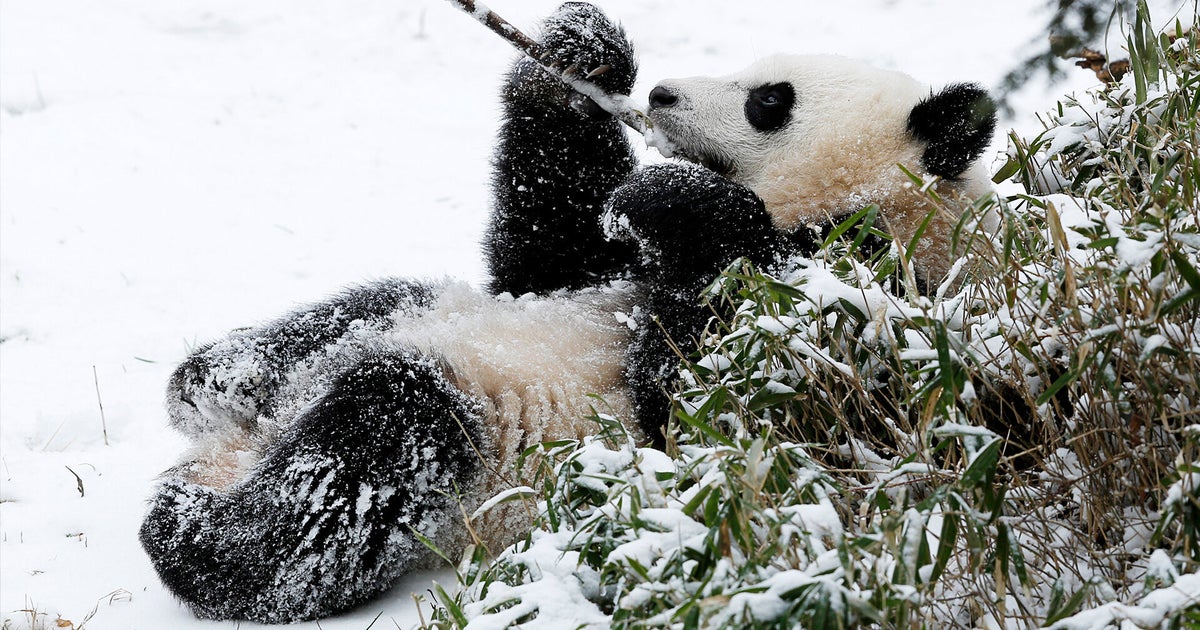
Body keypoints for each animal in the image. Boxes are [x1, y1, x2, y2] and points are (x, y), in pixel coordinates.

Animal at [139, 2, 996, 623]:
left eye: (768, 102)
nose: (661, 96)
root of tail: (238, 450)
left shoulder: (879, 300)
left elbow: (715, 388)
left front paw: (671, 196)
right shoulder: (590, 271)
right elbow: (548, 244)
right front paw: (582, 54)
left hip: (477, 456)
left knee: (369, 454)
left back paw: (195, 535)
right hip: (410, 317)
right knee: (359, 312)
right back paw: (214, 378)